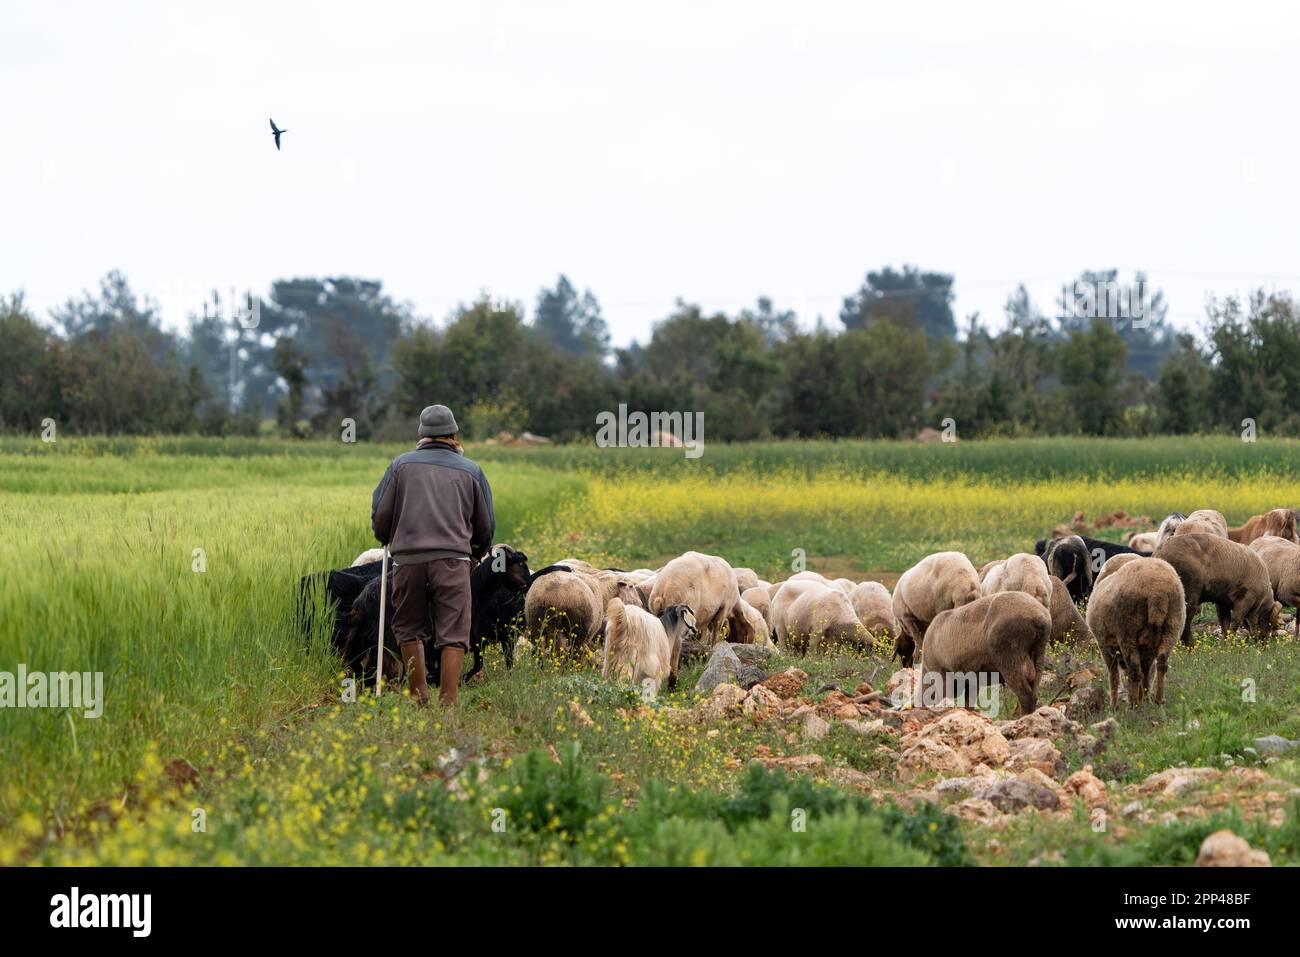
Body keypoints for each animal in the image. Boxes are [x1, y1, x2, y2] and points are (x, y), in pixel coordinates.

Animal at [919, 592, 1052, 715]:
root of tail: (1040, 618)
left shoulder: (942, 673)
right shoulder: (971, 680)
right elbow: (968, 703)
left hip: (1009, 652)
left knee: (1026, 696)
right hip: (1038, 652)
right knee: (1034, 688)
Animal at [1085, 556, 1186, 707]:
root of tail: (1157, 591)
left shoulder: (1104, 647)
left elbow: (1114, 675)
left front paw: (1114, 705)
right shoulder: (1147, 651)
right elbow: (1146, 673)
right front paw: (1144, 697)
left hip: (1127, 632)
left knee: (1134, 670)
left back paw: (1134, 705)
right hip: (1173, 626)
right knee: (1161, 664)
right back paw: (1158, 700)